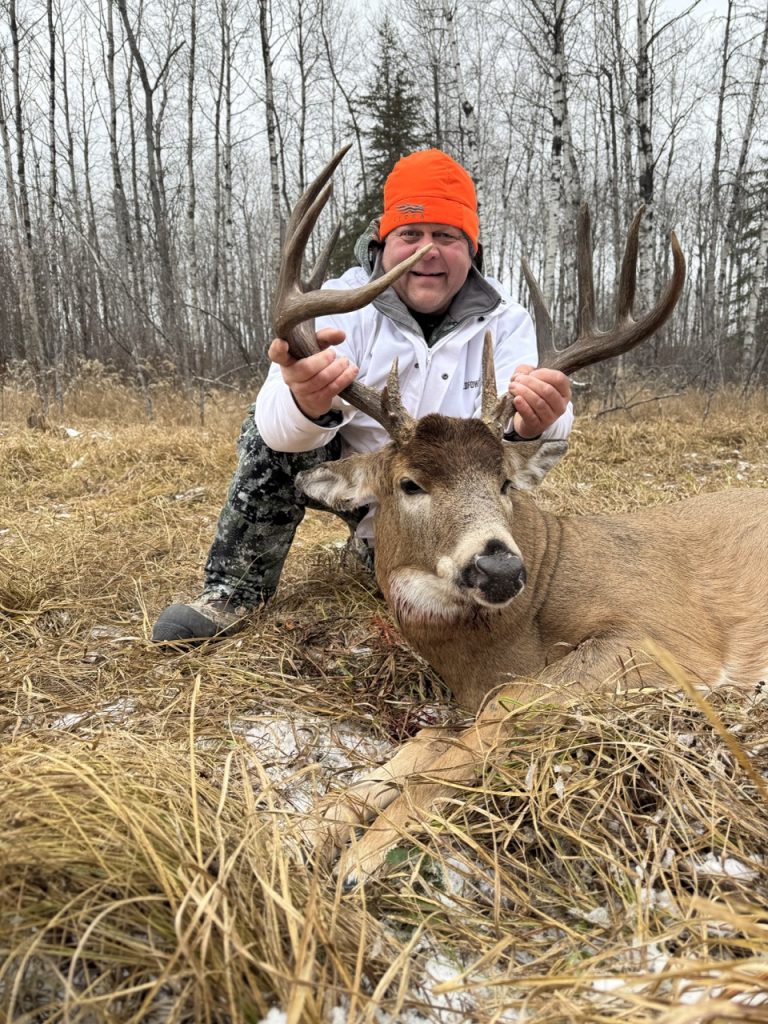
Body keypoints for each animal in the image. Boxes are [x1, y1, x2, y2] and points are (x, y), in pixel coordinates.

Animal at [272, 147, 768, 881]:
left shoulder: (665, 640)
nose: (500, 565)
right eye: (410, 483)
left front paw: (365, 851)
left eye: (505, 482)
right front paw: (305, 828)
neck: (497, 649)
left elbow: (484, 724)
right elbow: (427, 739)